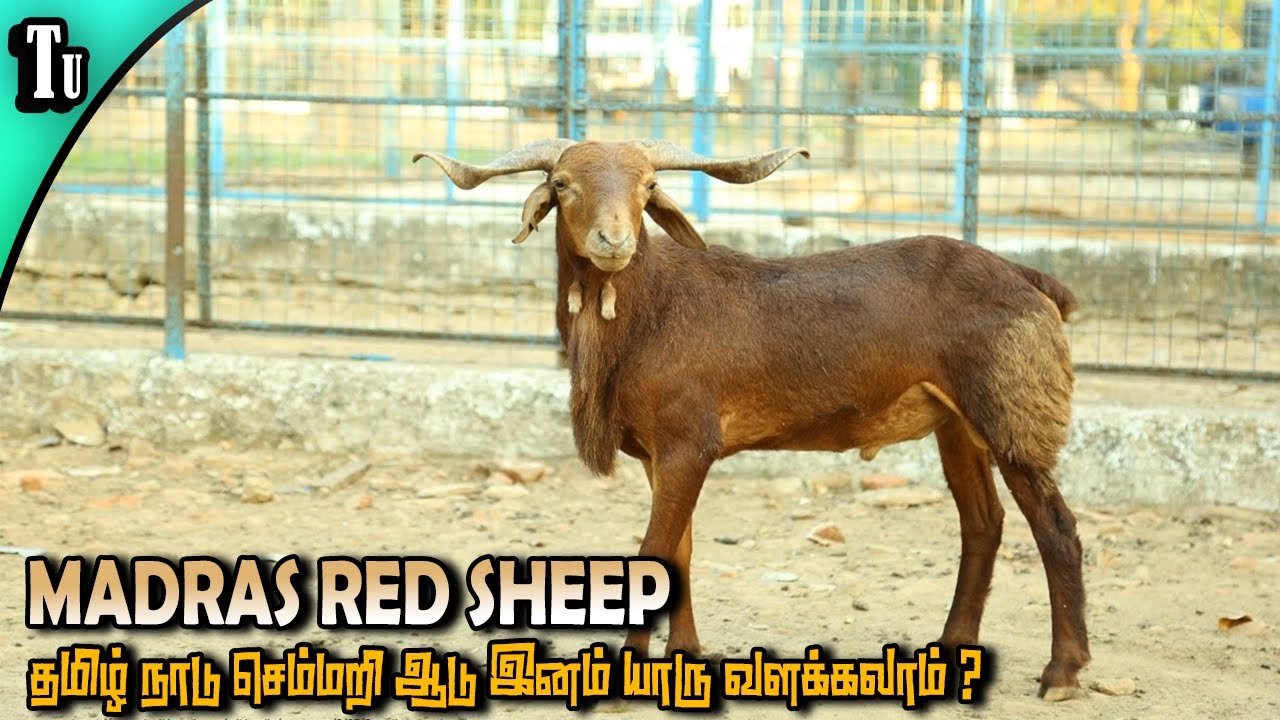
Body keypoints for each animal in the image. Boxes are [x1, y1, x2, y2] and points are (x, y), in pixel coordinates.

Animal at [414, 138, 1090, 701]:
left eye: (648, 185)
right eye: (561, 183)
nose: (613, 241)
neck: (649, 314)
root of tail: (1031, 280)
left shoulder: (690, 443)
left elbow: (654, 550)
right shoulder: (661, 454)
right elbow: (678, 552)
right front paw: (685, 655)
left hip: (1014, 410)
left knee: (1054, 527)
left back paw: (1061, 674)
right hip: (958, 422)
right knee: (983, 523)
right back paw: (951, 650)